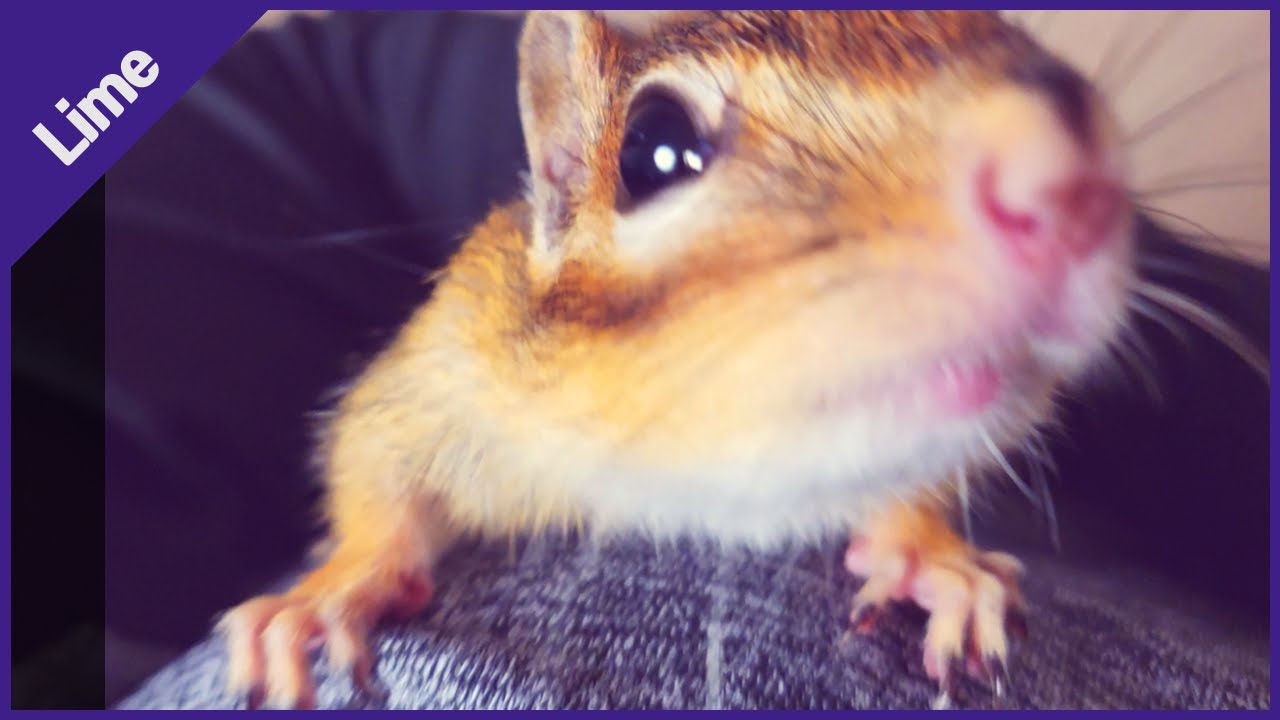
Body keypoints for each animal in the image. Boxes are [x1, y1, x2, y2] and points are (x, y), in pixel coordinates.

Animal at [219, 10, 1133, 709]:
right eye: (655, 147)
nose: (1070, 176)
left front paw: (933, 558)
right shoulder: (452, 363)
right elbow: (373, 458)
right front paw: (329, 590)